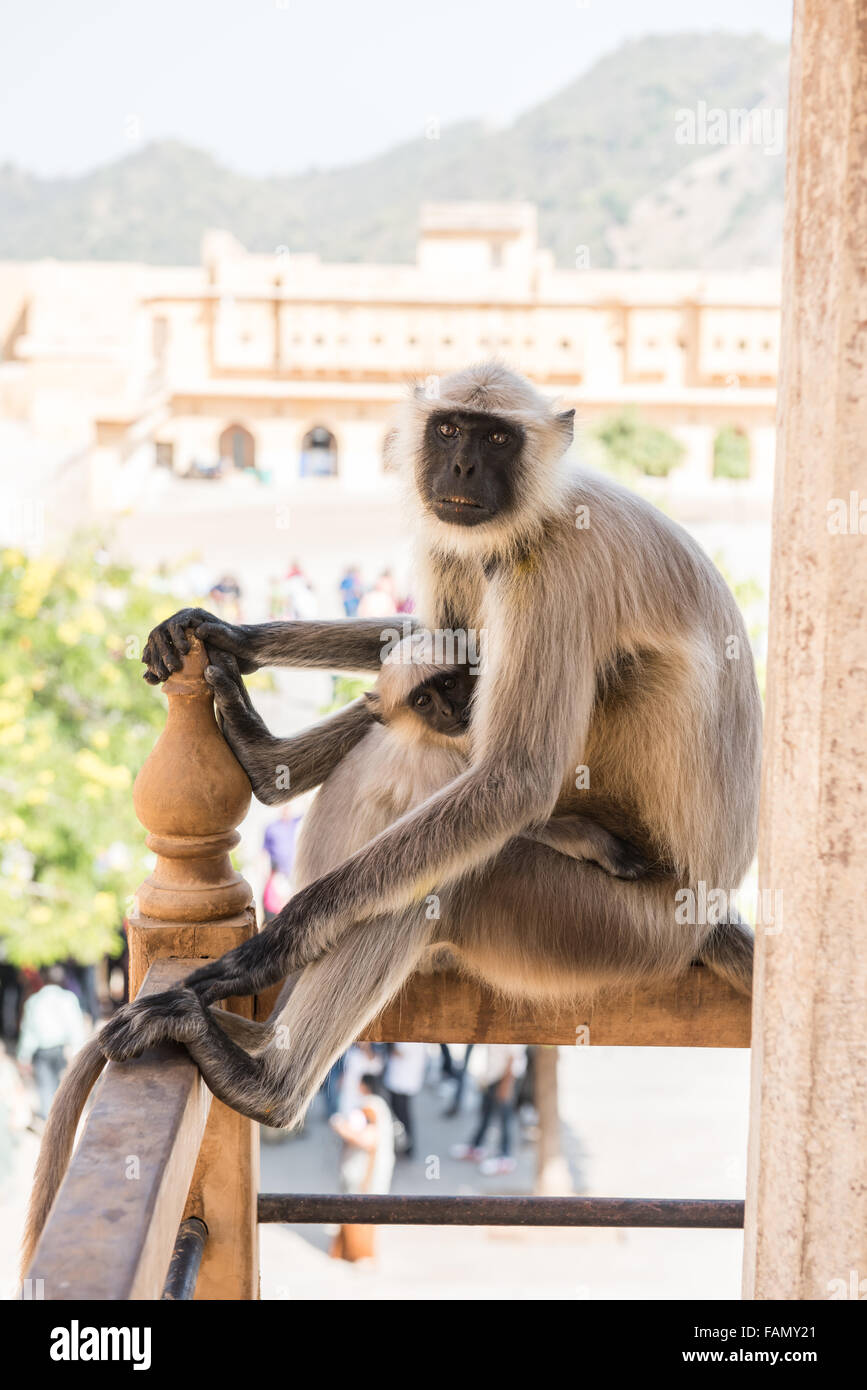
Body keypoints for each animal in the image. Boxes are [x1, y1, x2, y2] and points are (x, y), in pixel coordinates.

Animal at [22, 361, 760, 1273]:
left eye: (495, 437)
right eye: (448, 430)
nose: (463, 469)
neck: (538, 510)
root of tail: (708, 906)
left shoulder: (551, 568)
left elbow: (512, 779)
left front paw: (272, 945)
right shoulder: (462, 548)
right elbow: (430, 637)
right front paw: (227, 633)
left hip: (617, 930)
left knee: (446, 883)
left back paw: (262, 1085)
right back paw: (264, 767)